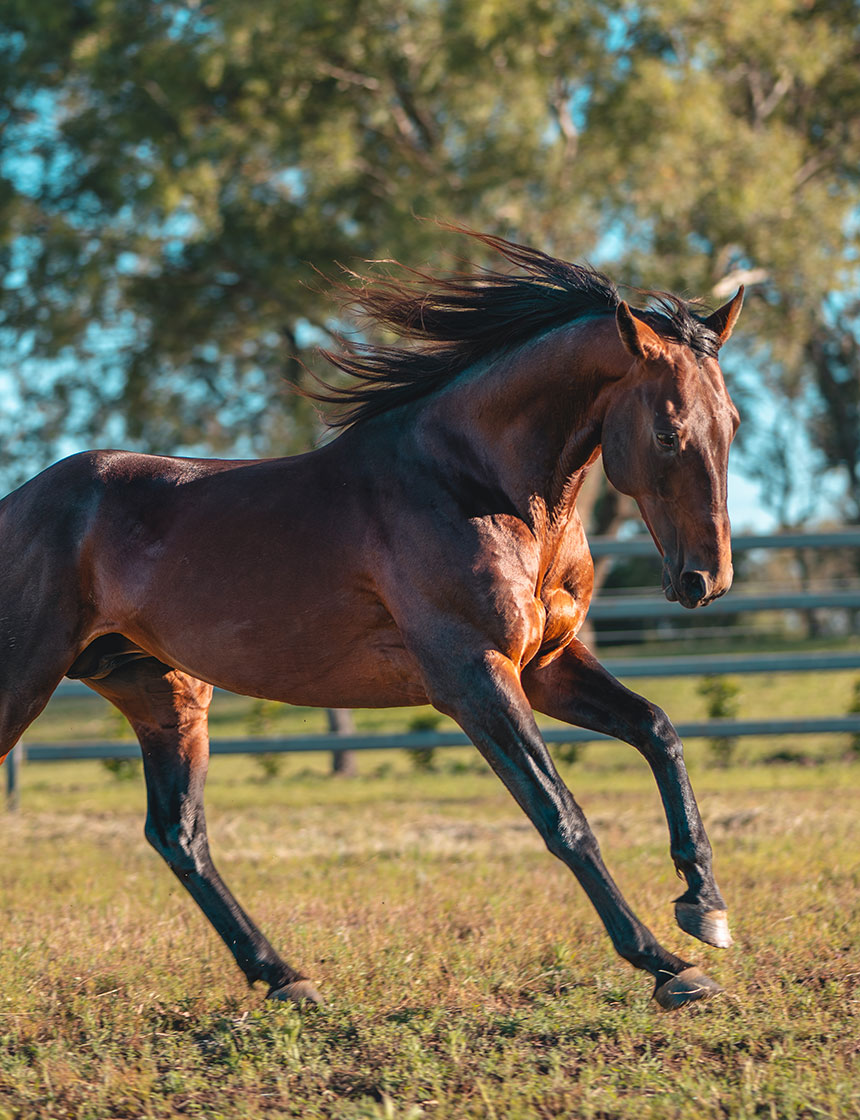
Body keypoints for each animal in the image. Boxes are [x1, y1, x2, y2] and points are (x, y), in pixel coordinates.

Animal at [0, 231, 743, 1010]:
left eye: (732, 423)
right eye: (667, 432)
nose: (706, 579)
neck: (479, 486)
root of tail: (15, 504)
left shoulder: (546, 667)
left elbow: (657, 729)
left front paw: (704, 909)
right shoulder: (474, 676)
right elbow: (561, 816)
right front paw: (664, 963)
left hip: (164, 696)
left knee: (179, 836)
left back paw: (285, 977)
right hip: (24, 685)